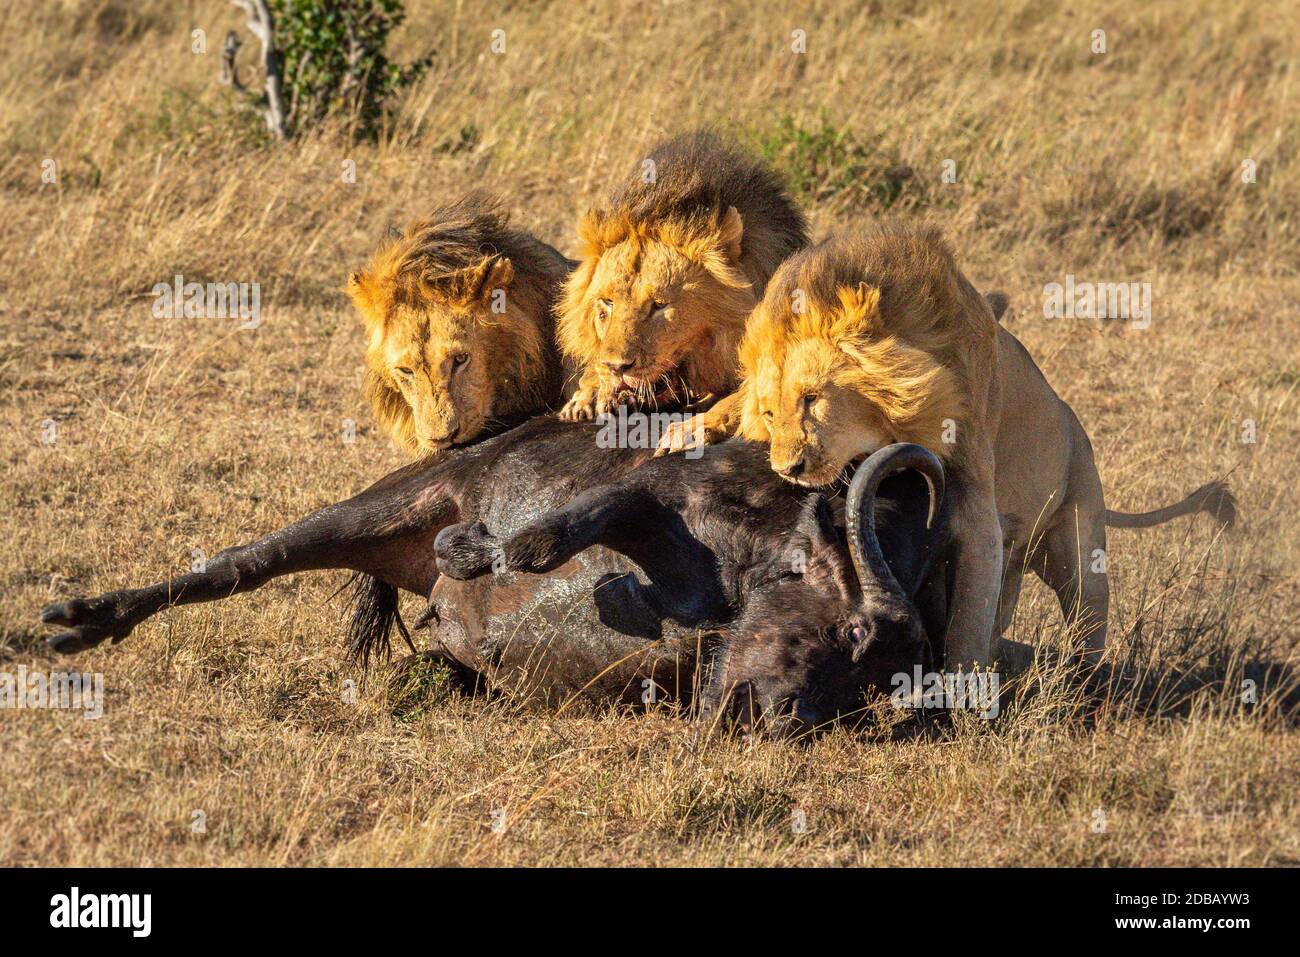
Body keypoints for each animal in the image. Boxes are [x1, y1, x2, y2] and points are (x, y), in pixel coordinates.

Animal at [659, 227, 1235, 668]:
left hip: (1076, 544)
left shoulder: (974, 507)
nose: (790, 468)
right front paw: (689, 431)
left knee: (1086, 618)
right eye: (771, 413)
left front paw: (960, 694)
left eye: (813, 398)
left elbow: (967, 623)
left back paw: (1082, 684)